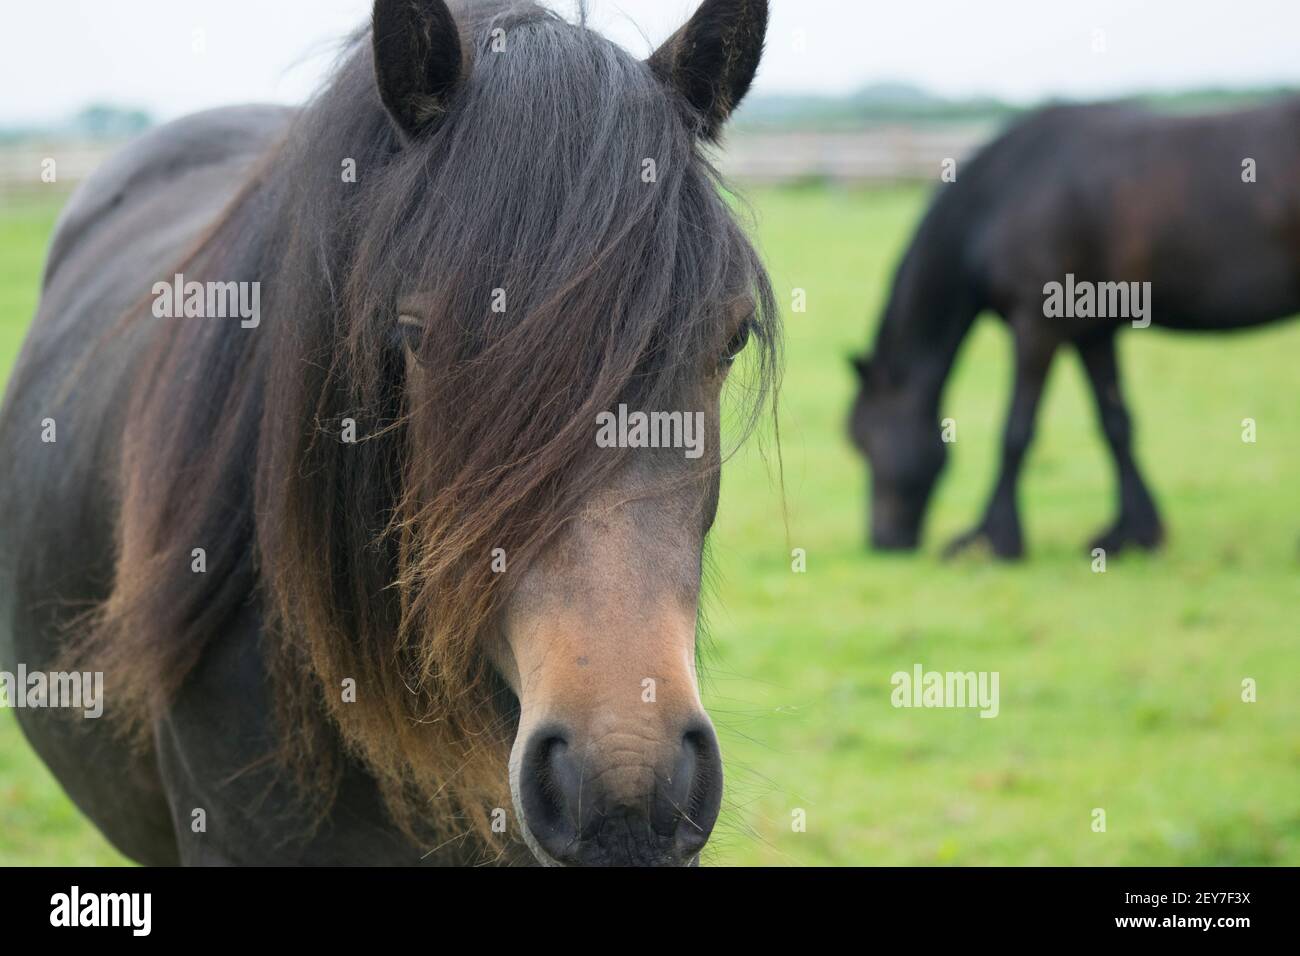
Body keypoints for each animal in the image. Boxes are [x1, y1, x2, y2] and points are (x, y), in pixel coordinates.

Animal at [848, 98, 1300, 559]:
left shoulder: (1036, 328)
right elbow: (1115, 424)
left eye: (863, 439)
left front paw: (996, 538)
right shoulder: (1093, 335)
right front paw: (1131, 533)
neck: (1001, 197)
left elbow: (1016, 431)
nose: (882, 541)